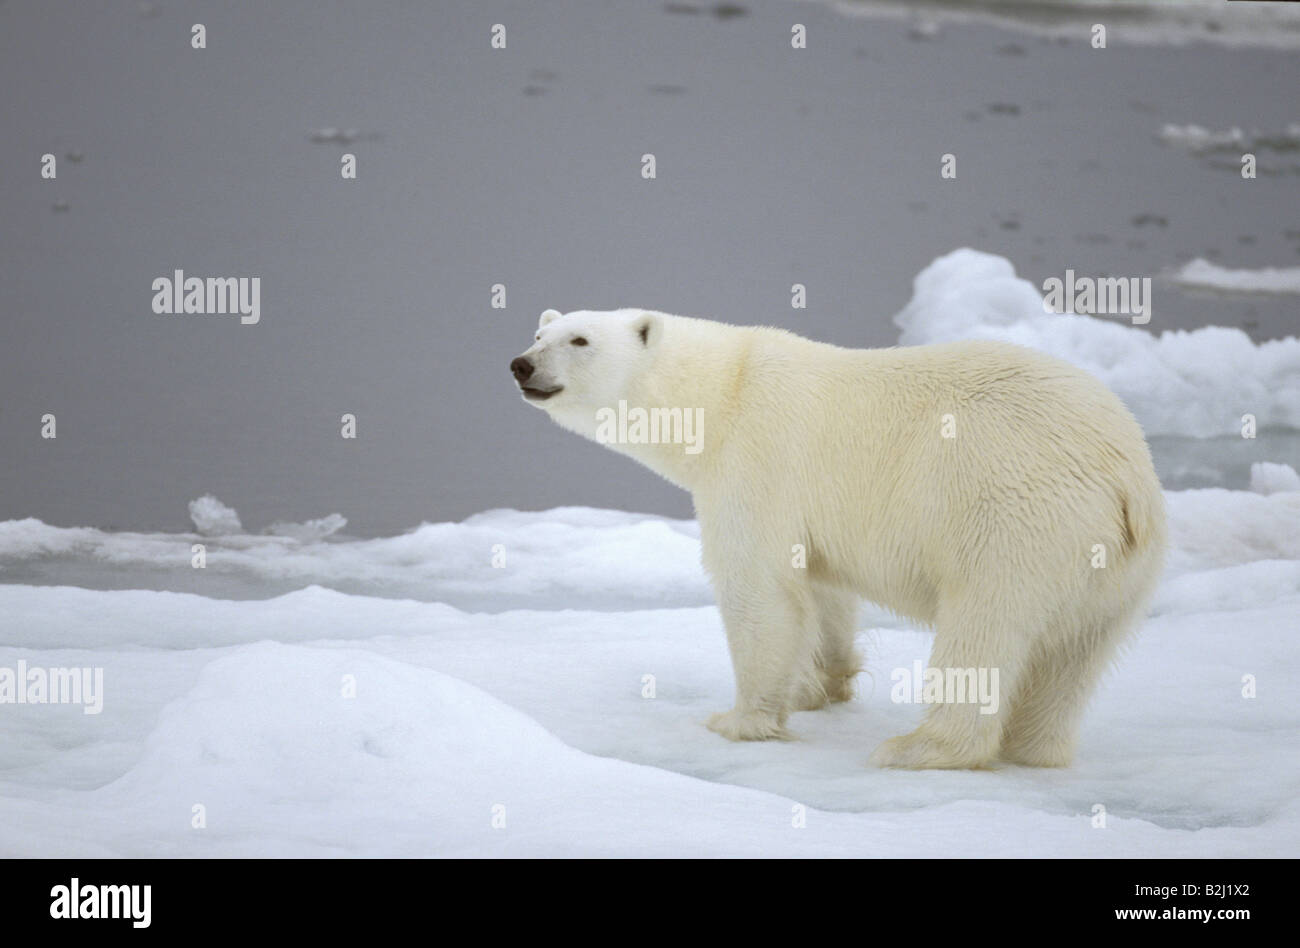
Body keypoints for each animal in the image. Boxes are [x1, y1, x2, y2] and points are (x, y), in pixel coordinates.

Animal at [510, 308, 1166, 769]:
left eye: (580, 340)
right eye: (540, 333)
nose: (521, 364)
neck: (723, 393)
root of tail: (1125, 476)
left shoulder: (758, 461)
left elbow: (758, 588)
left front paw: (738, 720)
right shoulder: (813, 509)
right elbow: (821, 588)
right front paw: (817, 687)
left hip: (1016, 521)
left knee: (984, 628)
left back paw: (919, 748)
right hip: (1116, 568)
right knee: (1075, 656)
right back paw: (1035, 748)